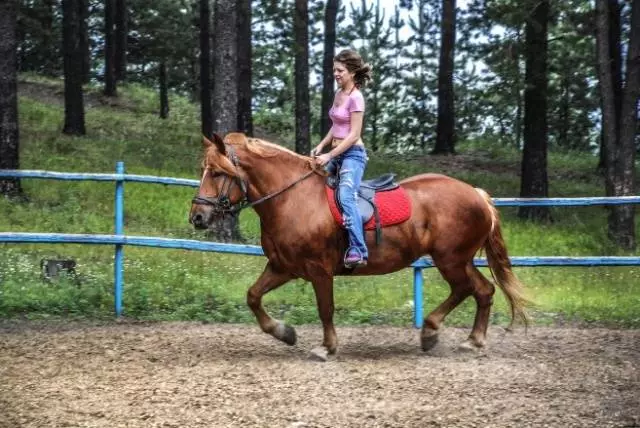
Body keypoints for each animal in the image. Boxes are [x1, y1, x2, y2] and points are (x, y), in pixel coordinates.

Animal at [190, 132, 528, 360]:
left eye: (217, 172)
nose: (197, 216)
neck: (292, 199)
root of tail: (476, 194)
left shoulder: (319, 270)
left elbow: (325, 308)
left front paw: (327, 347)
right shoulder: (283, 266)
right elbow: (253, 296)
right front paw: (285, 333)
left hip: (451, 259)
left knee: (466, 289)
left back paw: (433, 332)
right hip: (460, 259)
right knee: (483, 290)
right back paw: (471, 339)